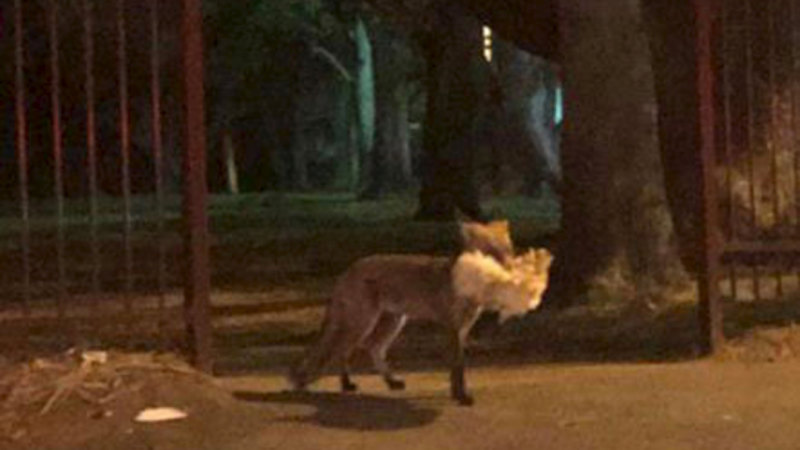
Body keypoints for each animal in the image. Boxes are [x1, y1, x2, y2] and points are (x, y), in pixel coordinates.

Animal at [288, 220, 553, 406]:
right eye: (490, 252)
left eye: (508, 250)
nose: (510, 269)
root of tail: (349, 268)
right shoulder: (452, 328)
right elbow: (458, 368)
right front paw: (461, 397)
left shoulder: (463, 330)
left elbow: (456, 370)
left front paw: (456, 394)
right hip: (363, 322)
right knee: (342, 351)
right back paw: (346, 385)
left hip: (392, 322)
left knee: (371, 349)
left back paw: (387, 381)